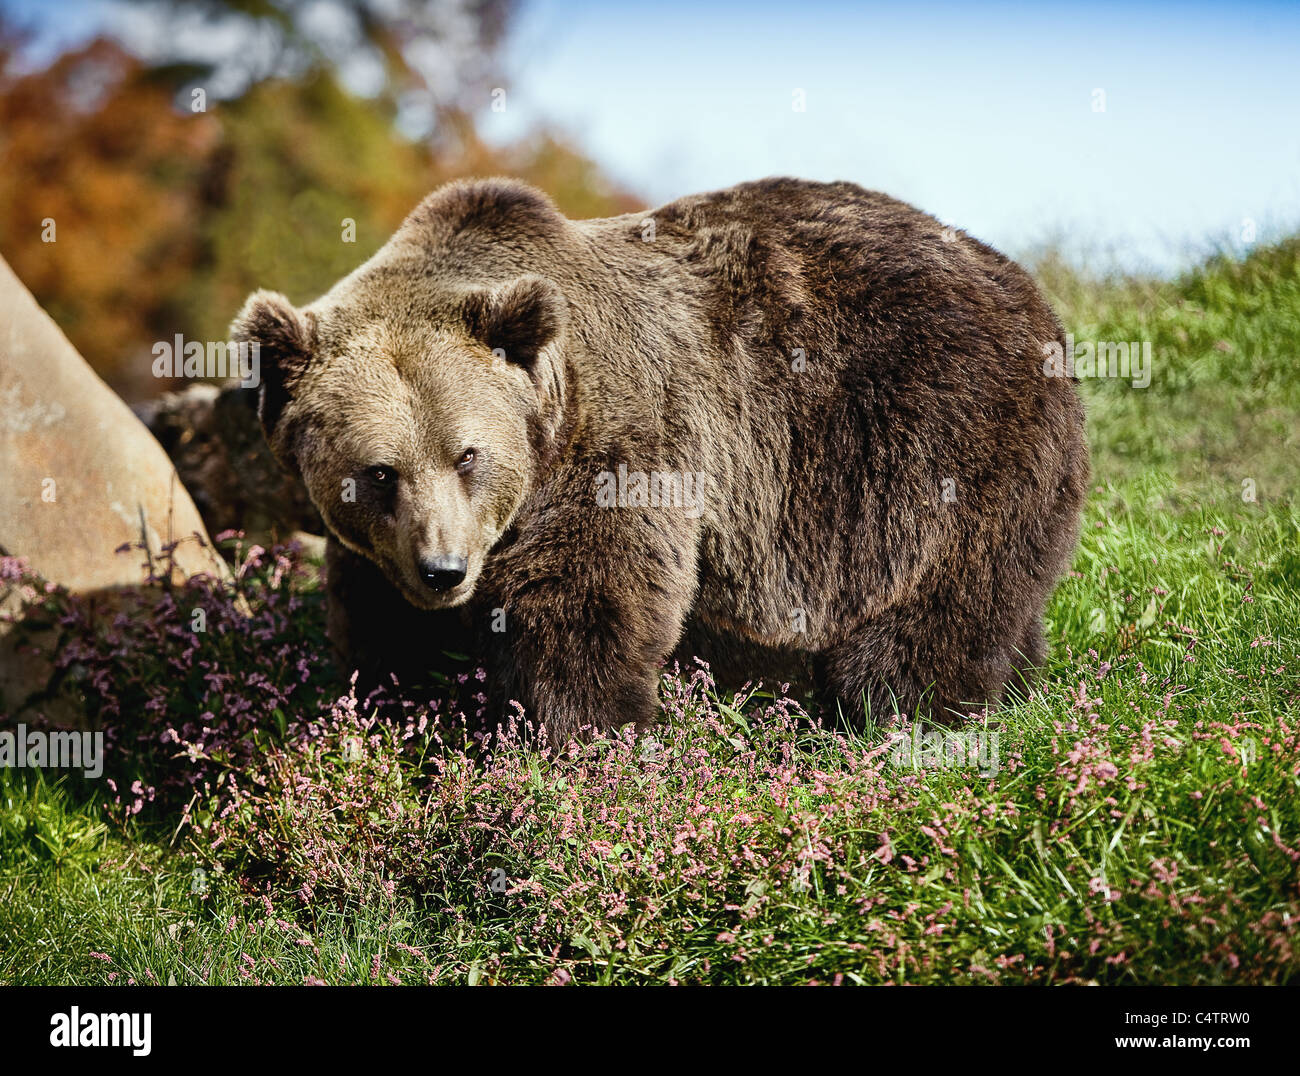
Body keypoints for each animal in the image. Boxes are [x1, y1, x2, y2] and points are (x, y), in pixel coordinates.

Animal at [232, 176, 1089, 741]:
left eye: (468, 454)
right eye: (379, 472)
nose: (444, 570)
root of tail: (1021, 282)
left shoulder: (621, 442)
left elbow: (588, 602)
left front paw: (584, 735)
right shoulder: (379, 553)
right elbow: (382, 627)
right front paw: (390, 712)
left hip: (937, 437)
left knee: (926, 608)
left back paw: (914, 716)